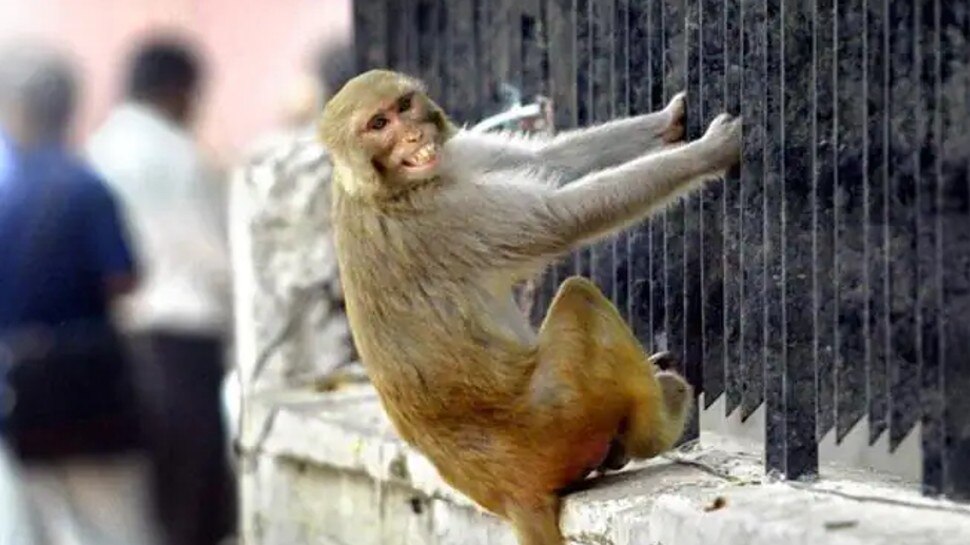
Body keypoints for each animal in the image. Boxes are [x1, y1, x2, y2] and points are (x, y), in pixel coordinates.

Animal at [317, 70, 741, 545]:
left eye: (404, 106)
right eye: (378, 125)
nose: (412, 136)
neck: (383, 189)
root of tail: (511, 491)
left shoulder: (453, 161)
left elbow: (551, 160)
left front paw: (671, 118)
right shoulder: (448, 216)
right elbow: (561, 216)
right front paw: (709, 152)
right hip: (563, 418)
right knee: (578, 300)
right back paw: (658, 427)